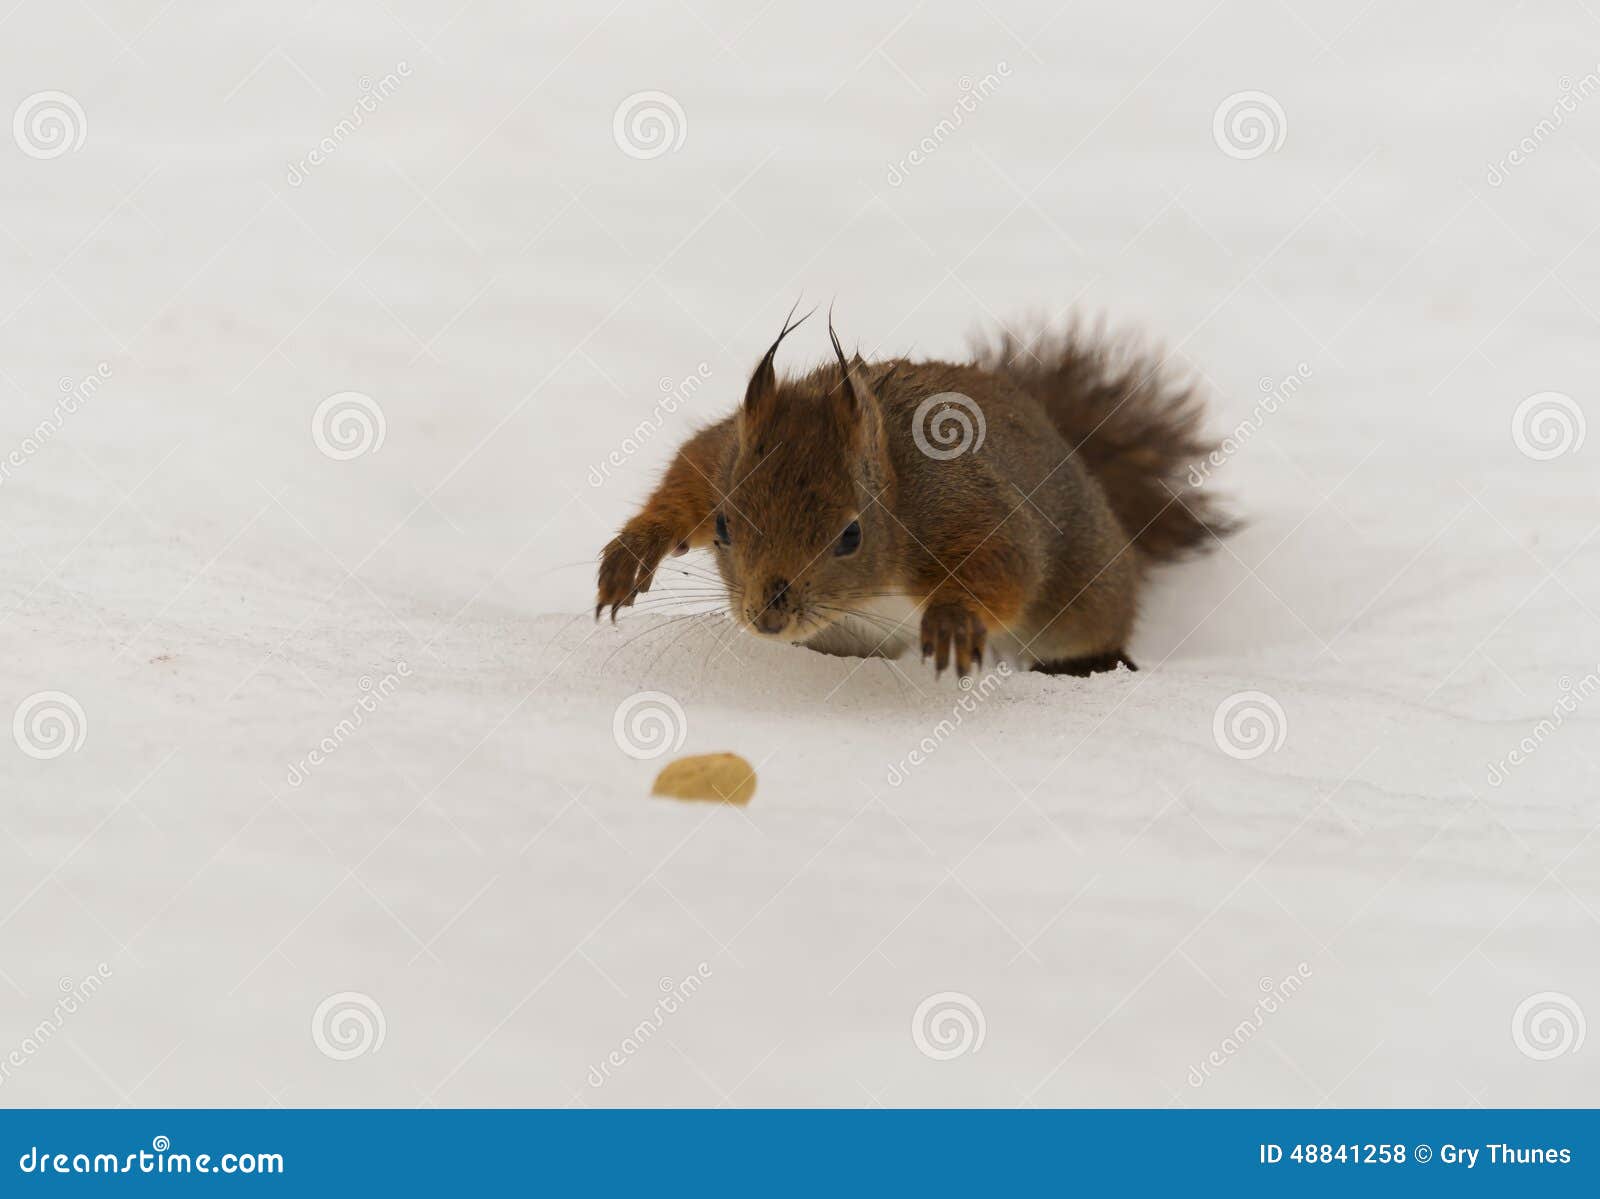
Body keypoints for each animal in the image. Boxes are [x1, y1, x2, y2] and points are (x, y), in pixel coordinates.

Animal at [596, 308, 1233, 678]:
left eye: (852, 535)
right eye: (725, 526)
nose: (769, 617)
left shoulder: (960, 503)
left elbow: (1006, 563)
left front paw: (952, 618)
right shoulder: (723, 454)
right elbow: (687, 471)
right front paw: (634, 552)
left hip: (1084, 589)